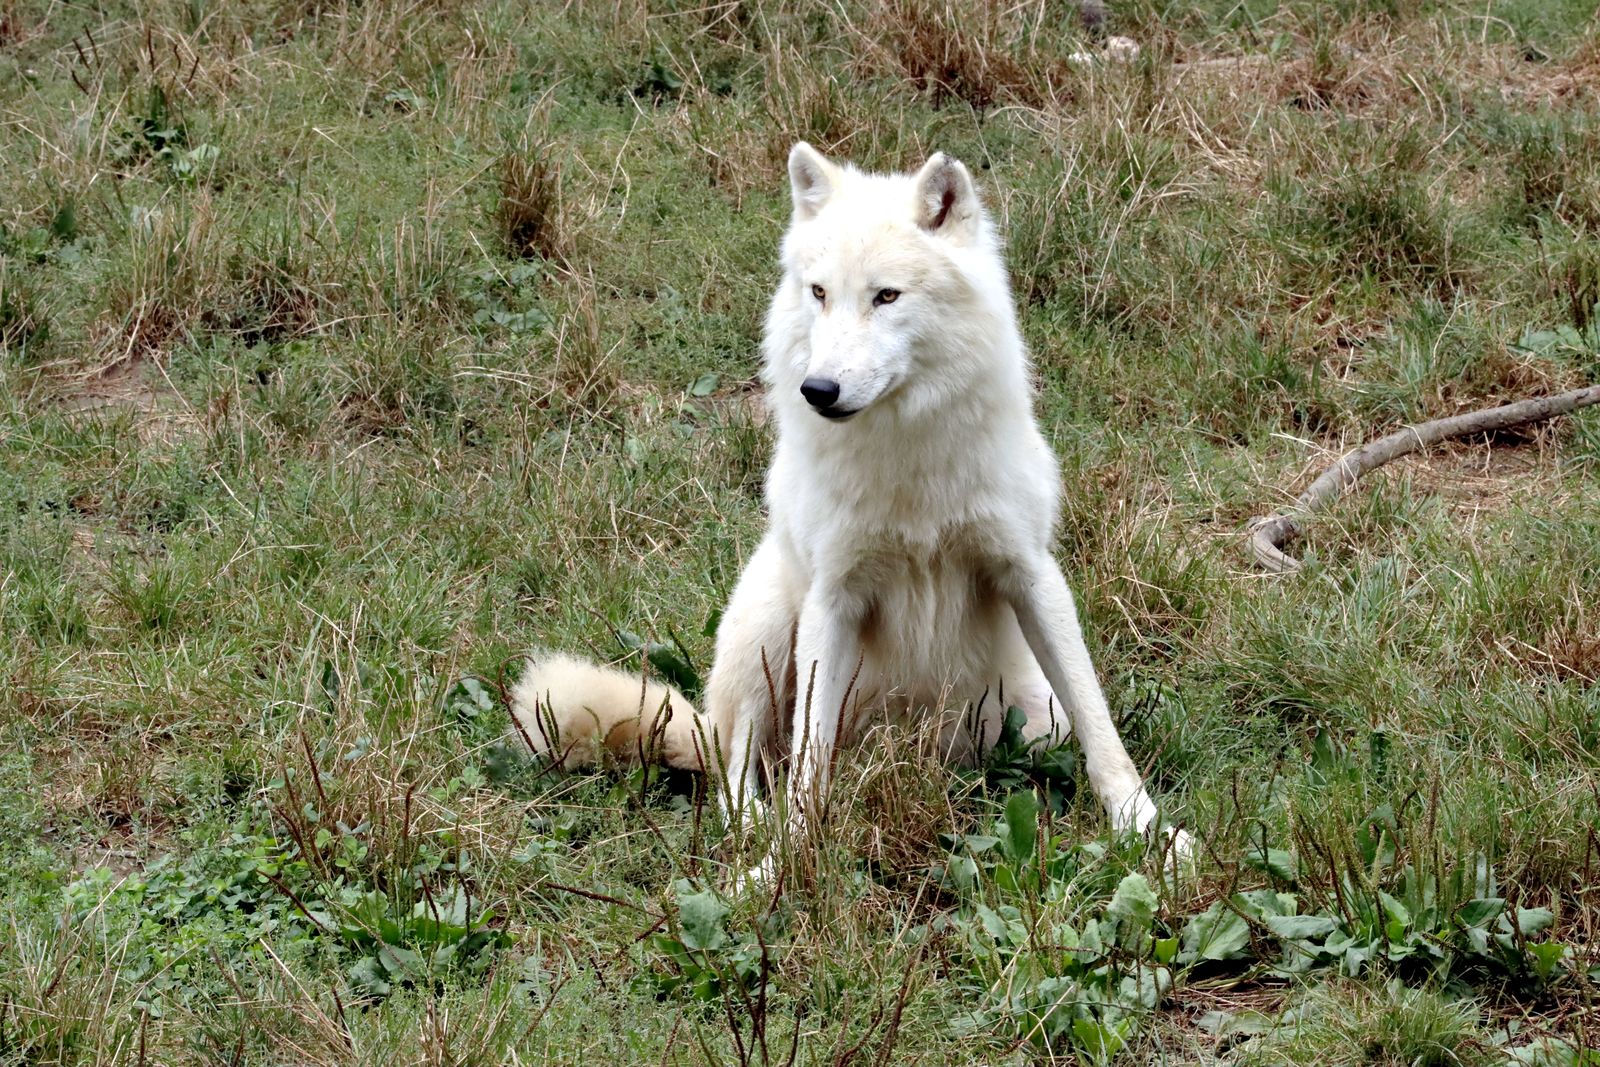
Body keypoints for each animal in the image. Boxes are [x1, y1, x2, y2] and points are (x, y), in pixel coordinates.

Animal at [511, 143, 1187, 865]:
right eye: (819, 293)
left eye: (885, 295)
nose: (818, 389)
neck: (904, 457)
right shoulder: (832, 600)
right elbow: (808, 765)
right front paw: (782, 862)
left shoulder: (1031, 576)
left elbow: (1099, 722)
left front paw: (1148, 830)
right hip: (767, 631)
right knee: (737, 764)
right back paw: (755, 828)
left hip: (1031, 715)